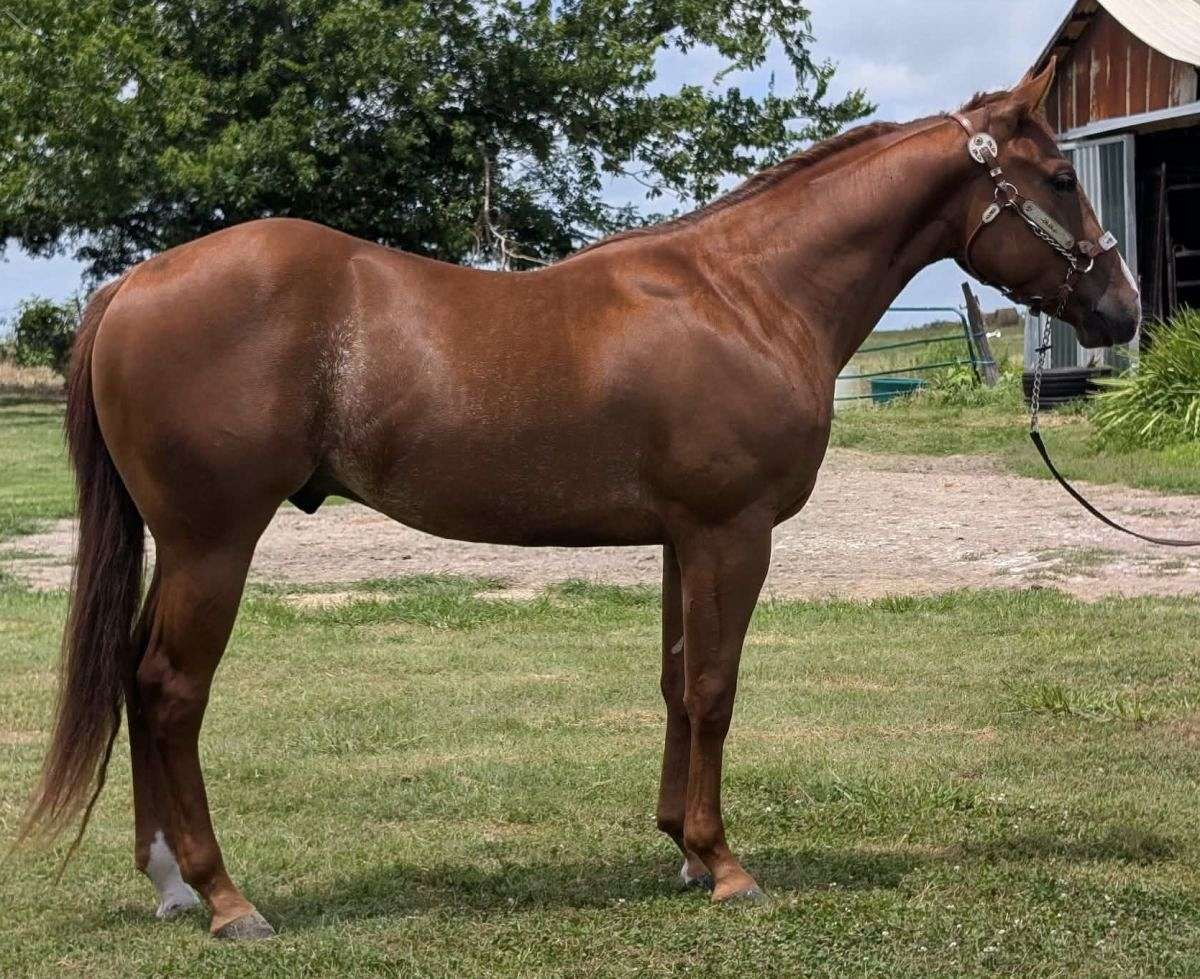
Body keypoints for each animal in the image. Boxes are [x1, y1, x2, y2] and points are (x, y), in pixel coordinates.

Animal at [20, 59, 1139, 939]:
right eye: (1056, 176)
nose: (1122, 309)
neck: (747, 294)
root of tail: (134, 285)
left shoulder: (685, 538)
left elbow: (678, 683)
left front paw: (683, 847)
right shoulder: (732, 533)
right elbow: (715, 689)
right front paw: (725, 865)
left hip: (182, 544)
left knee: (134, 681)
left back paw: (168, 882)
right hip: (212, 540)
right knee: (170, 690)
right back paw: (223, 898)